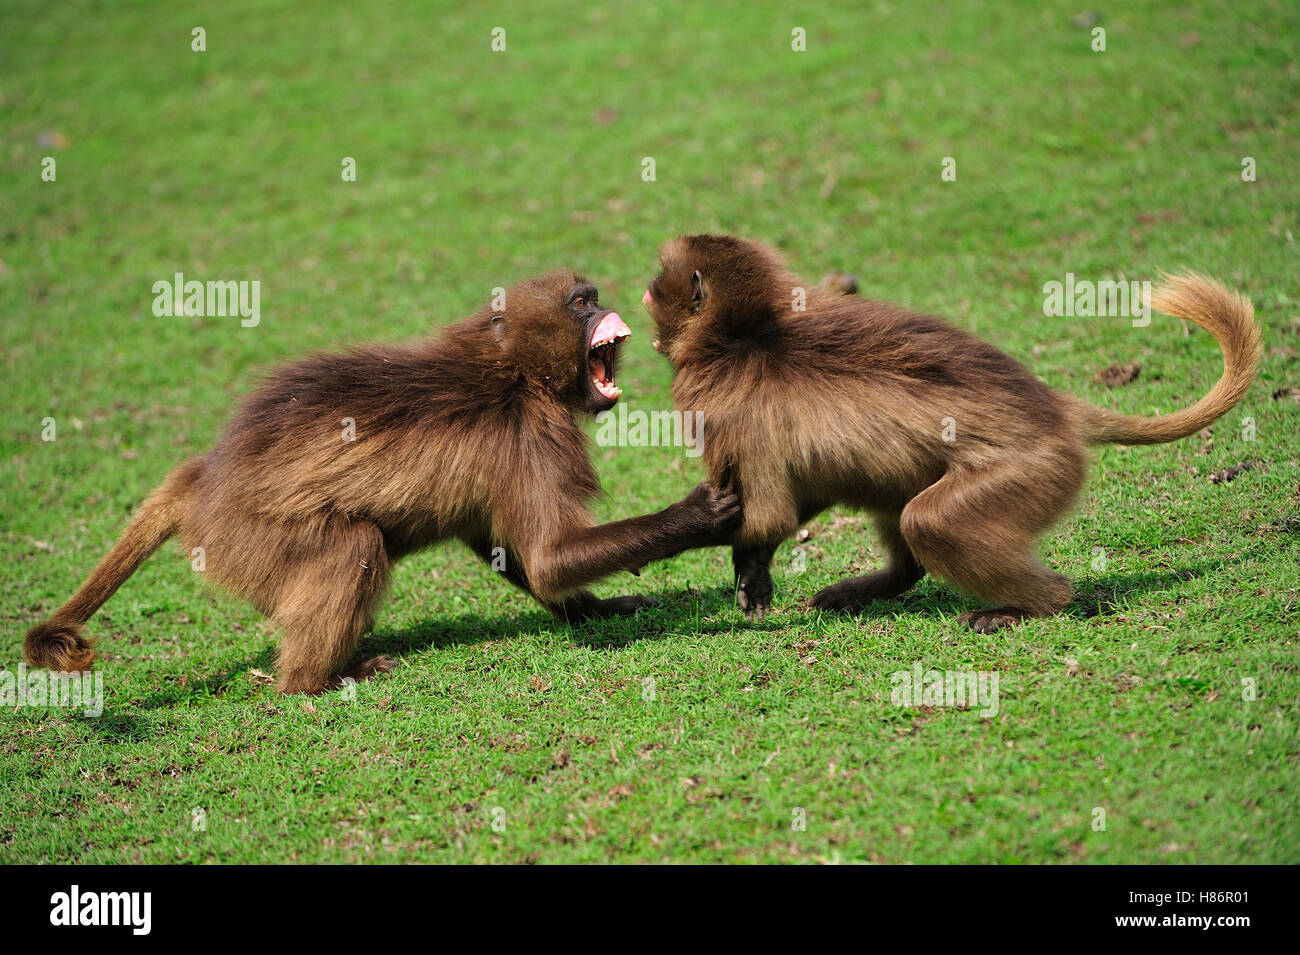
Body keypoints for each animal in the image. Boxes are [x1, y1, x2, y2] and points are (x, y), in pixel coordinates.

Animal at [24, 271, 742, 693]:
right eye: (580, 302)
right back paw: (319, 680)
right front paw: (698, 514)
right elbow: (547, 555)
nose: (607, 303)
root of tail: (206, 477)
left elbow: (511, 551)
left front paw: (595, 608)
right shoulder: (531, 433)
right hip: (247, 537)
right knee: (353, 547)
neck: (512, 369)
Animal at [642, 234, 1260, 632]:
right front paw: (754, 572)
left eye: (657, 280)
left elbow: (769, 512)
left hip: (1033, 470)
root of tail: (1055, 408)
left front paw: (732, 548)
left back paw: (1028, 607)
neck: (741, 336)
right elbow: (798, 499)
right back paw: (873, 587)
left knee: (931, 521)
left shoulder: (726, 412)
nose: (644, 291)